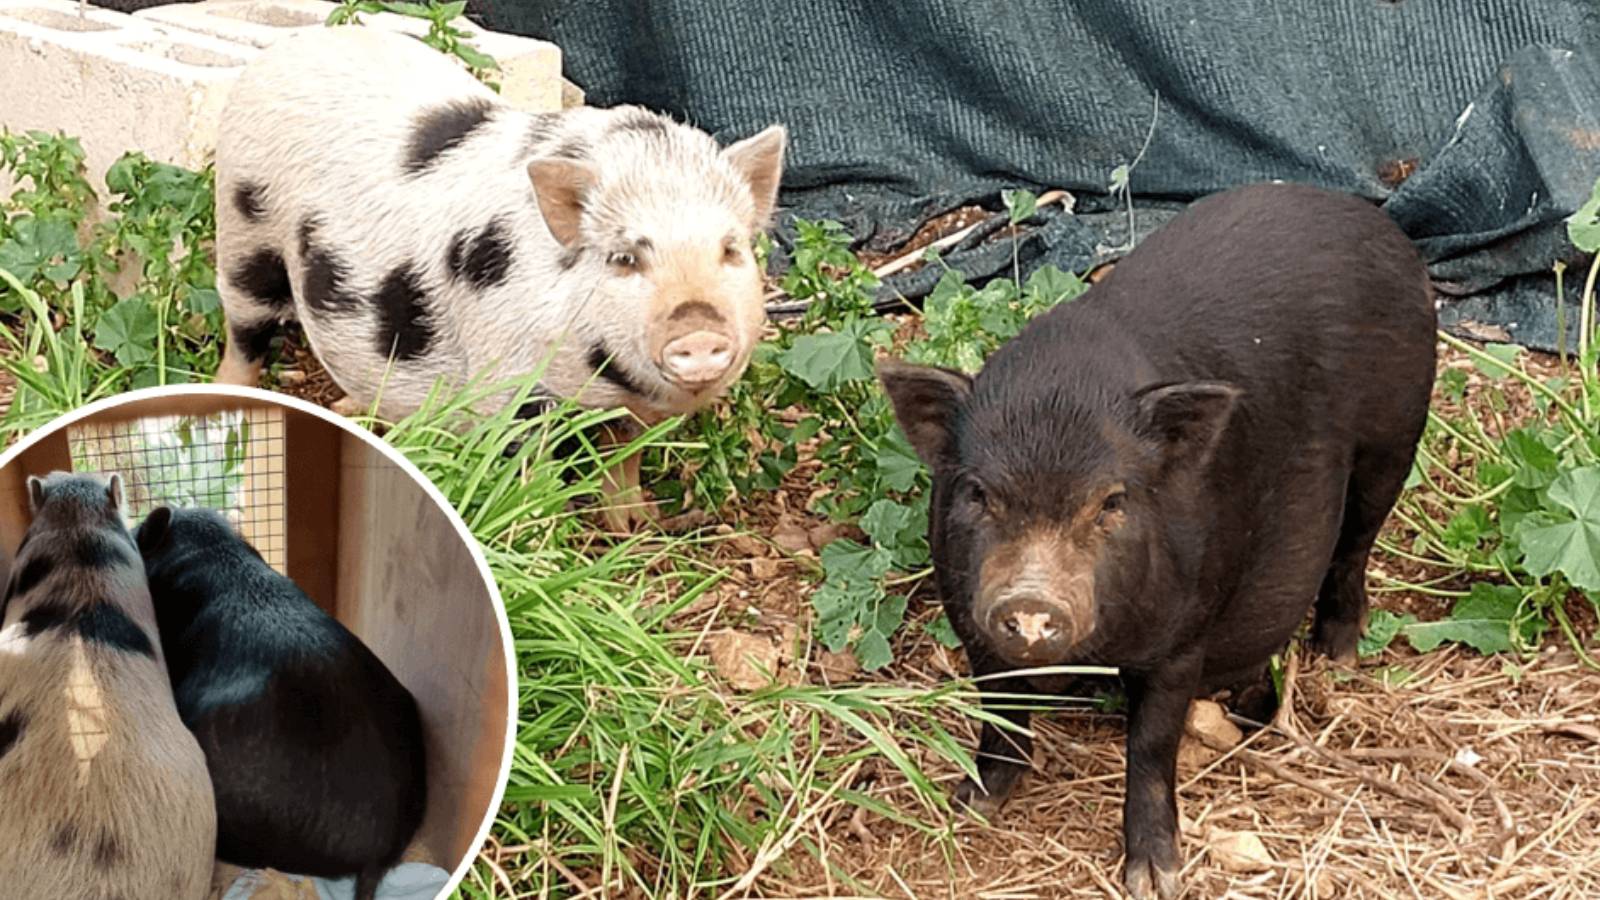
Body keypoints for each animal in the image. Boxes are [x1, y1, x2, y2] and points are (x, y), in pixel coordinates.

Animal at [211, 25, 786, 529]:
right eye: (625, 258)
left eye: (731, 249)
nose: (697, 325)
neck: (607, 383)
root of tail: (291, 46)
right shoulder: (507, 383)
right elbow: (524, 469)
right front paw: (535, 536)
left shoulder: (639, 411)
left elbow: (623, 458)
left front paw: (635, 526)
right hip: (243, 234)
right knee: (245, 332)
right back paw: (225, 390)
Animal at [878, 182, 1435, 899]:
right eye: (978, 493)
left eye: (1112, 502)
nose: (1031, 599)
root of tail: (1378, 222)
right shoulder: (971, 619)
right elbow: (1000, 715)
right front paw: (970, 807)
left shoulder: (1183, 634)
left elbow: (1150, 747)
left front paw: (1155, 878)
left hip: (1396, 434)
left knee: (1354, 547)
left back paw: (1336, 657)